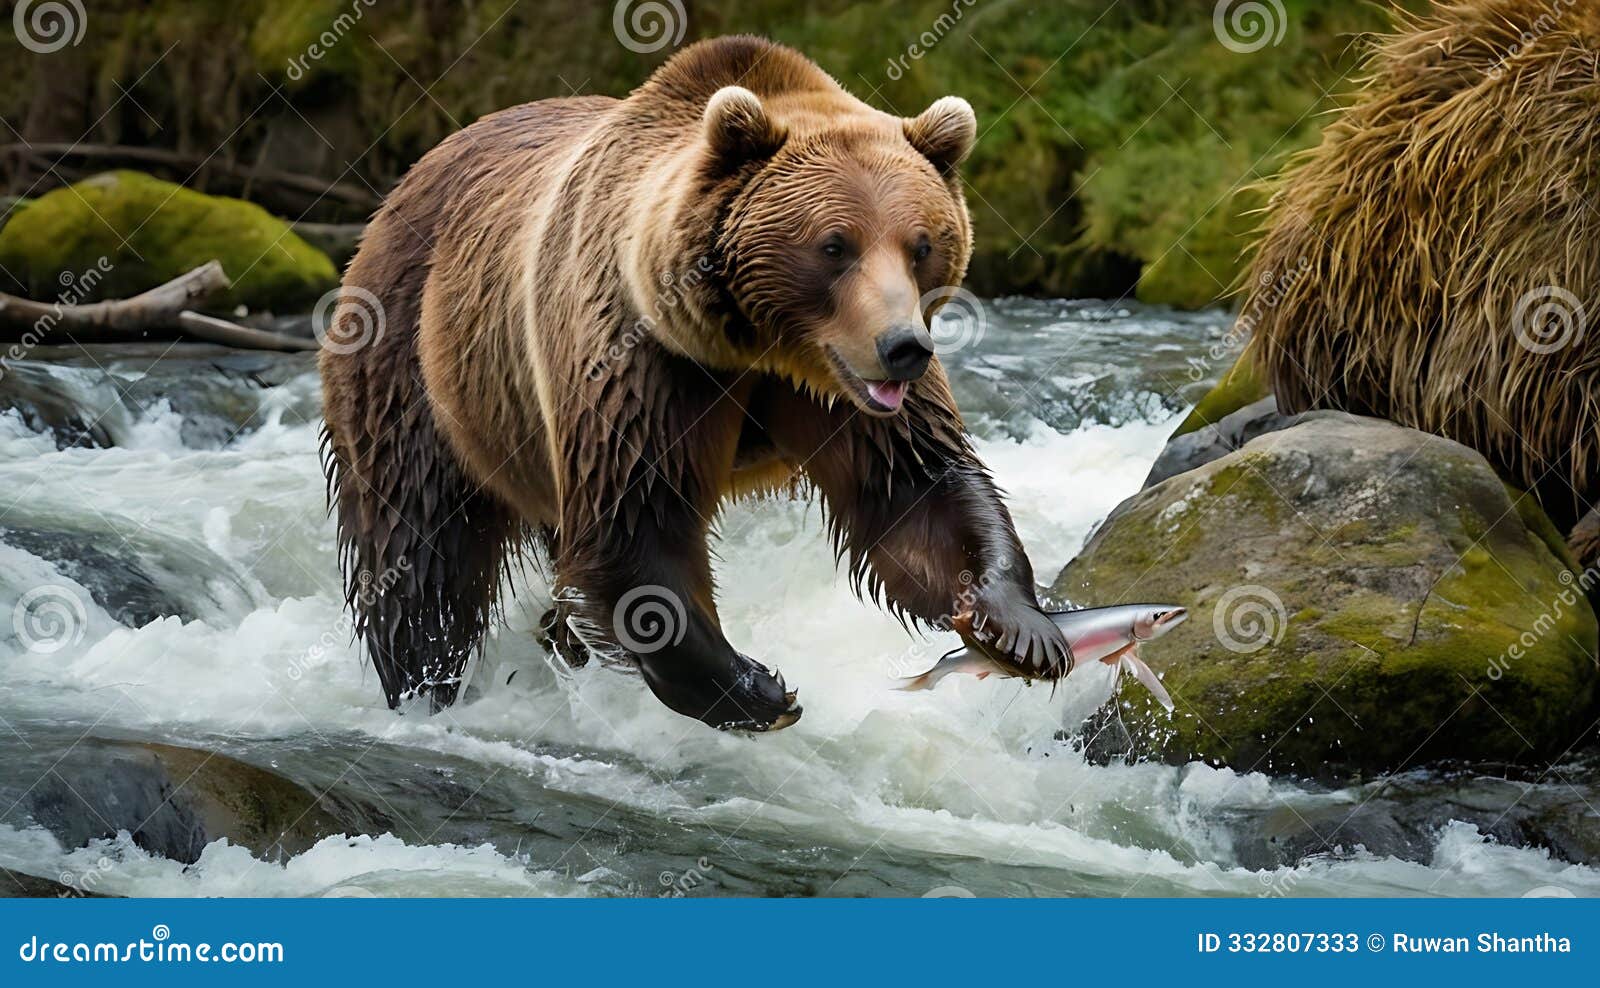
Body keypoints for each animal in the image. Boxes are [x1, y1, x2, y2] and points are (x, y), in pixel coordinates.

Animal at [320, 36, 1071, 731]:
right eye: (835, 245)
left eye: (921, 244)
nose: (903, 348)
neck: (762, 347)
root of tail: (406, 179)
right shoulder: (647, 362)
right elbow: (640, 526)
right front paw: (757, 690)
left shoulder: (843, 395)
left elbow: (915, 488)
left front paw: (1022, 629)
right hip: (415, 360)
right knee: (420, 550)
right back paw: (425, 689)